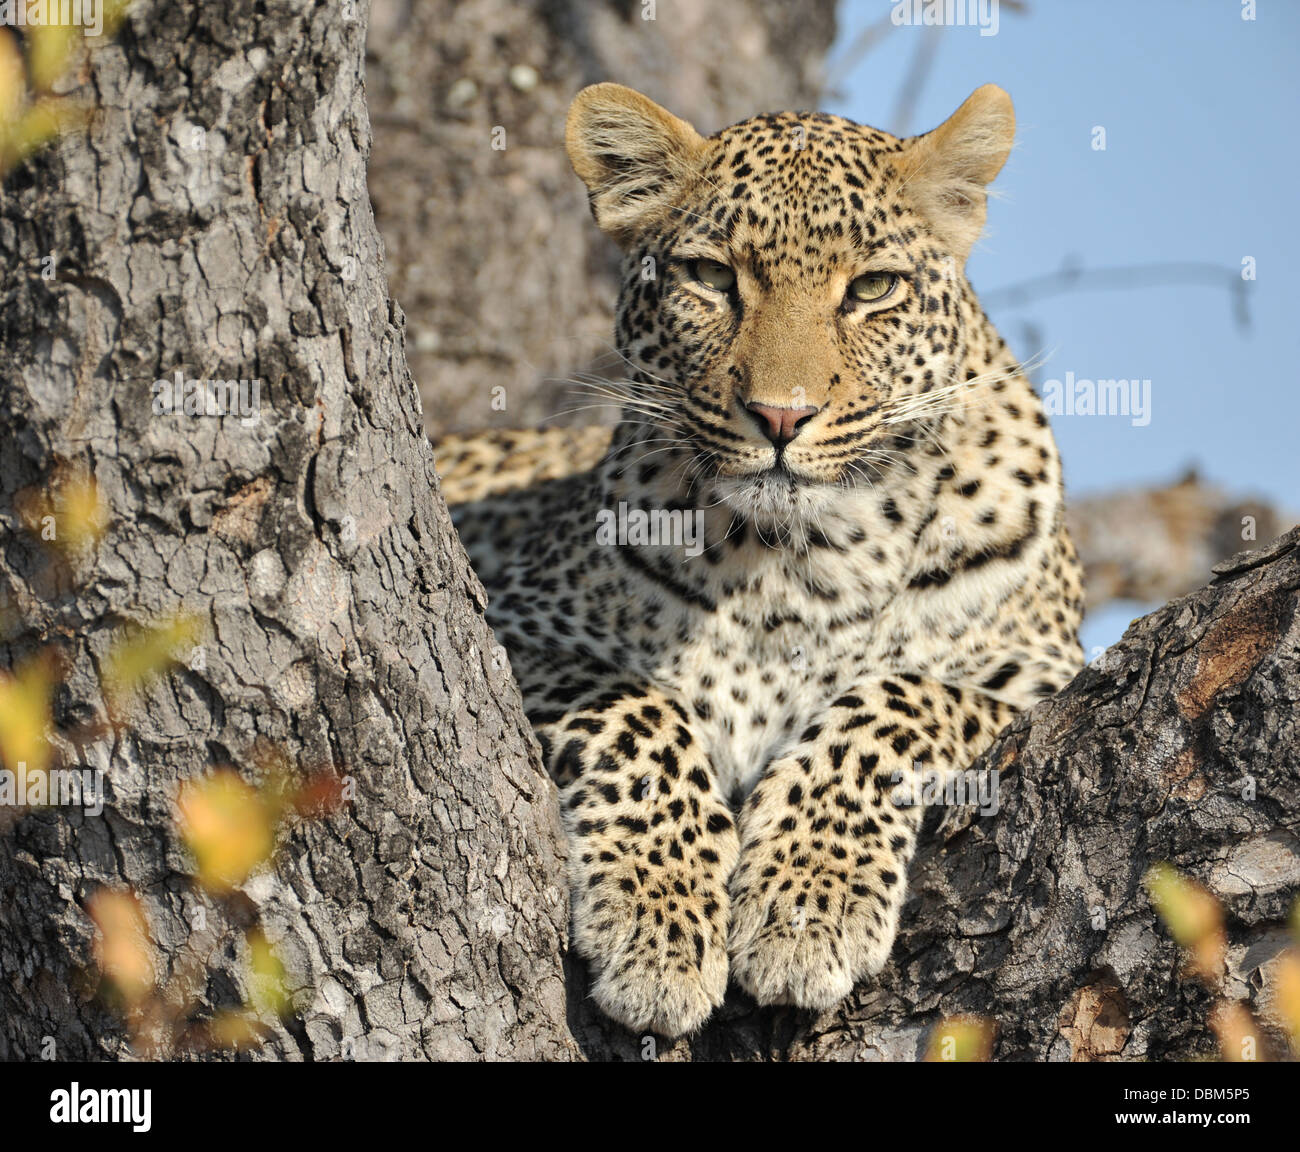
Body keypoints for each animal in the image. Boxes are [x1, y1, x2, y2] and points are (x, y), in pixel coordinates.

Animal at [434, 83, 1085, 1038]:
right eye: (711, 278)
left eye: (874, 287)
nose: (782, 416)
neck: (797, 567)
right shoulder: (509, 629)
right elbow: (638, 708)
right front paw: (658, 925)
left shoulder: (1043, 676)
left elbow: (893, 700)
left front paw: (809, 906)